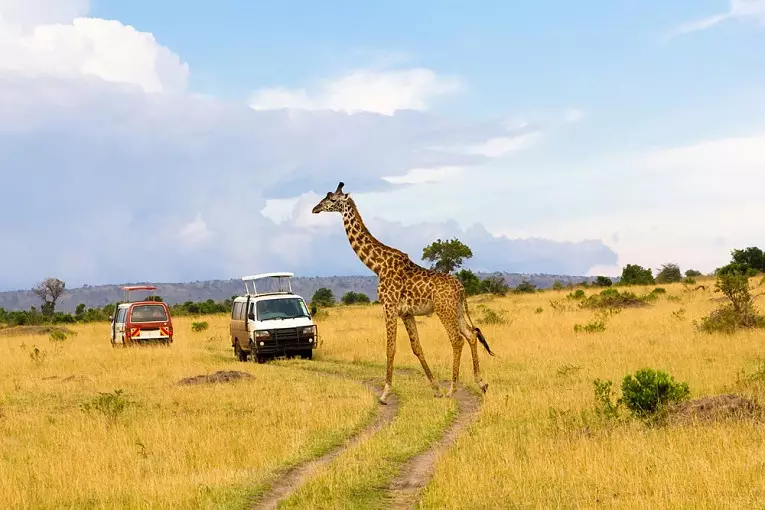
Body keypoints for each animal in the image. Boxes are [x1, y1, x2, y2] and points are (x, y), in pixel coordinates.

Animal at [312, 181, 496, 404]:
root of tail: (461, 289)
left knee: (457, 339)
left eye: (331, 198)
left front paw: (385, 393)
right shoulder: (406, 313)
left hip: (444, 310)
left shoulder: (389, 306)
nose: (315, 209)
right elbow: (417, 347)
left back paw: (453, 389)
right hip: (457, 310)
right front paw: (435, 388)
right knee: (471, 335)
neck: (378, 266)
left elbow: (390, 348)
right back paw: (481, 383)